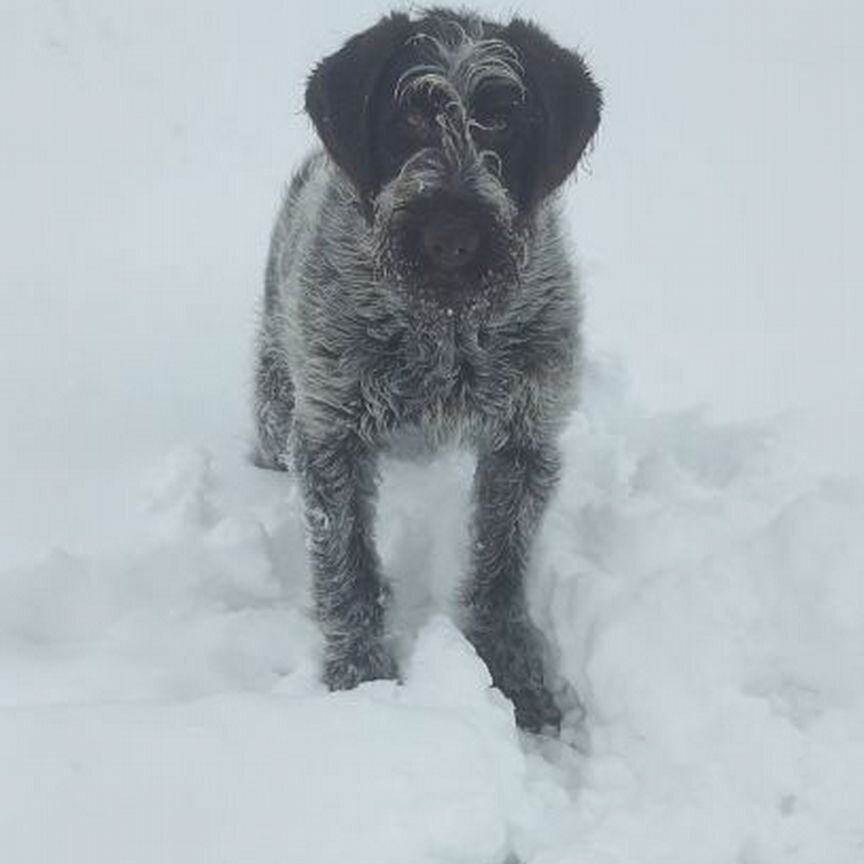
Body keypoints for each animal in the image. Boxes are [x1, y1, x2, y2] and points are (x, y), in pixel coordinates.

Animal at [253, 10, 596, 732]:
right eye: (409, 116)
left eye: (503, 119)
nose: (451, 239)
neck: (444, 331)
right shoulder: (330, 435)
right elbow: (347, 566)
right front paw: (360, 681)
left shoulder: (524, 439)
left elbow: (501, 569)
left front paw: (515, 677)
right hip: (275, 400)